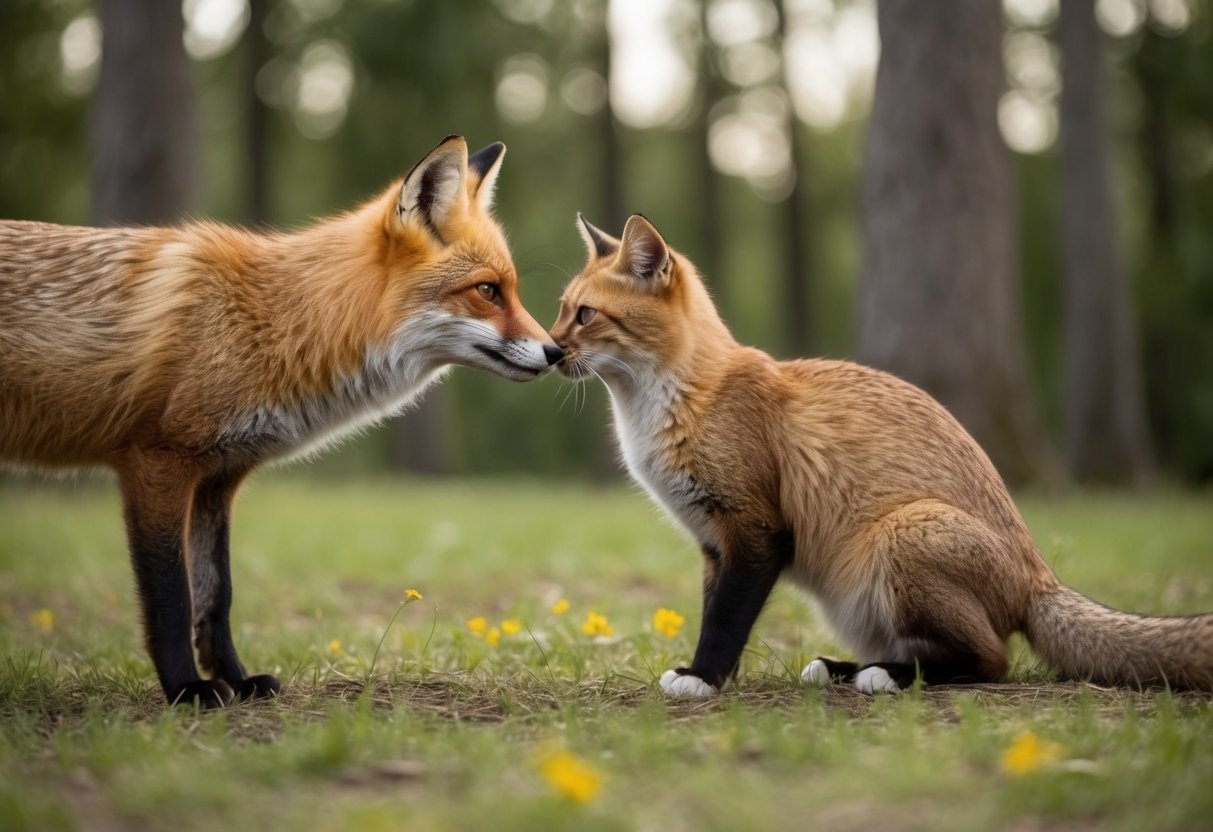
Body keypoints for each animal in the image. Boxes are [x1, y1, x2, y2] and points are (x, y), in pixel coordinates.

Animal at [0, 135, 563, 709]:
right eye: (488, 291)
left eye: (511, 290)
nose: (557, 352)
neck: (278, 323)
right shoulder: (158, 462)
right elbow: (172, 595)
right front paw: (187, 689)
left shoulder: (218, 477)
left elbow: (217, 593)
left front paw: (238, 680)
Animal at [549, 212, 1213, 697]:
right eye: (559, 310)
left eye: (585, 315)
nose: (550, 351)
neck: (684, 398)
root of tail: (1038, 576)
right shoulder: (715, 542)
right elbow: (717, 613)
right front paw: (710, 677)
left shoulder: (757, 530)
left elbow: (726, 622)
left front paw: (702, 680)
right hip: (859, 600)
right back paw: (842, 670)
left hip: (901, 537)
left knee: (991, 662)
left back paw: (884, 679)